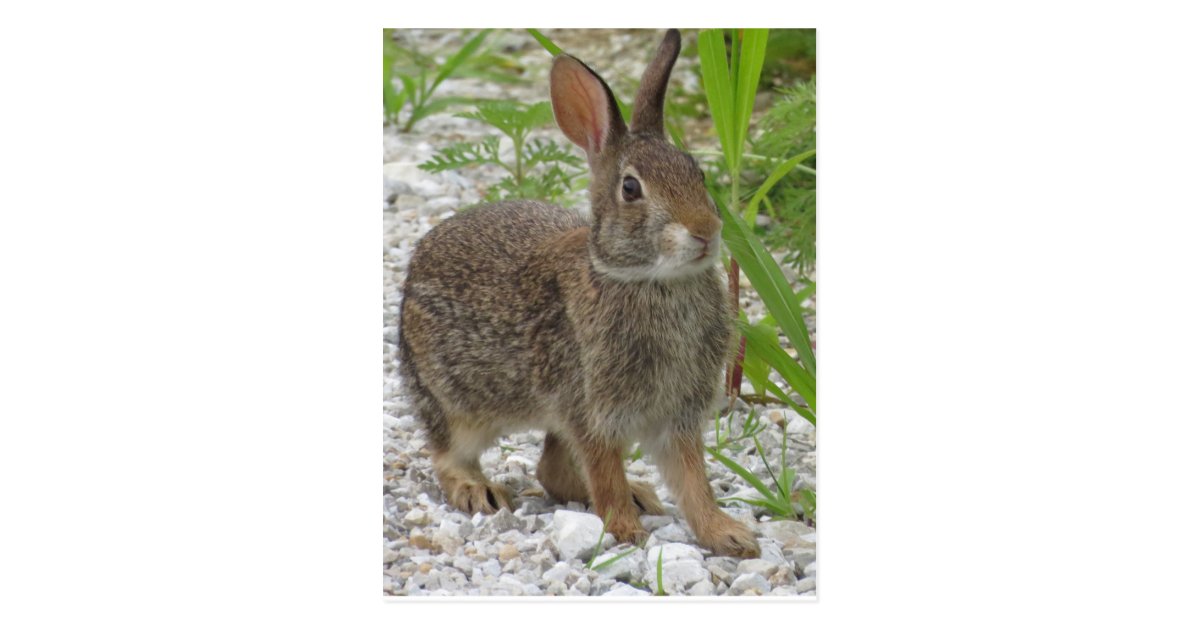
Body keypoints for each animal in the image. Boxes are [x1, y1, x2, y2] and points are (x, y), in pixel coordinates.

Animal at [397, 29, 759, 558]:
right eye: (631, 188)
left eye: (699, 174)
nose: (705, 232)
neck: (649, 280)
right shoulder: (593, 410)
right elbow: (606, 471)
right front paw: (626, 532)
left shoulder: (678, 415)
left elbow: (693, 481)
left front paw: (727, 535)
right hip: (456, 404)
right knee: (448, 454)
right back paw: (480, 491)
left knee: (551, 469)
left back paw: (639, 493)